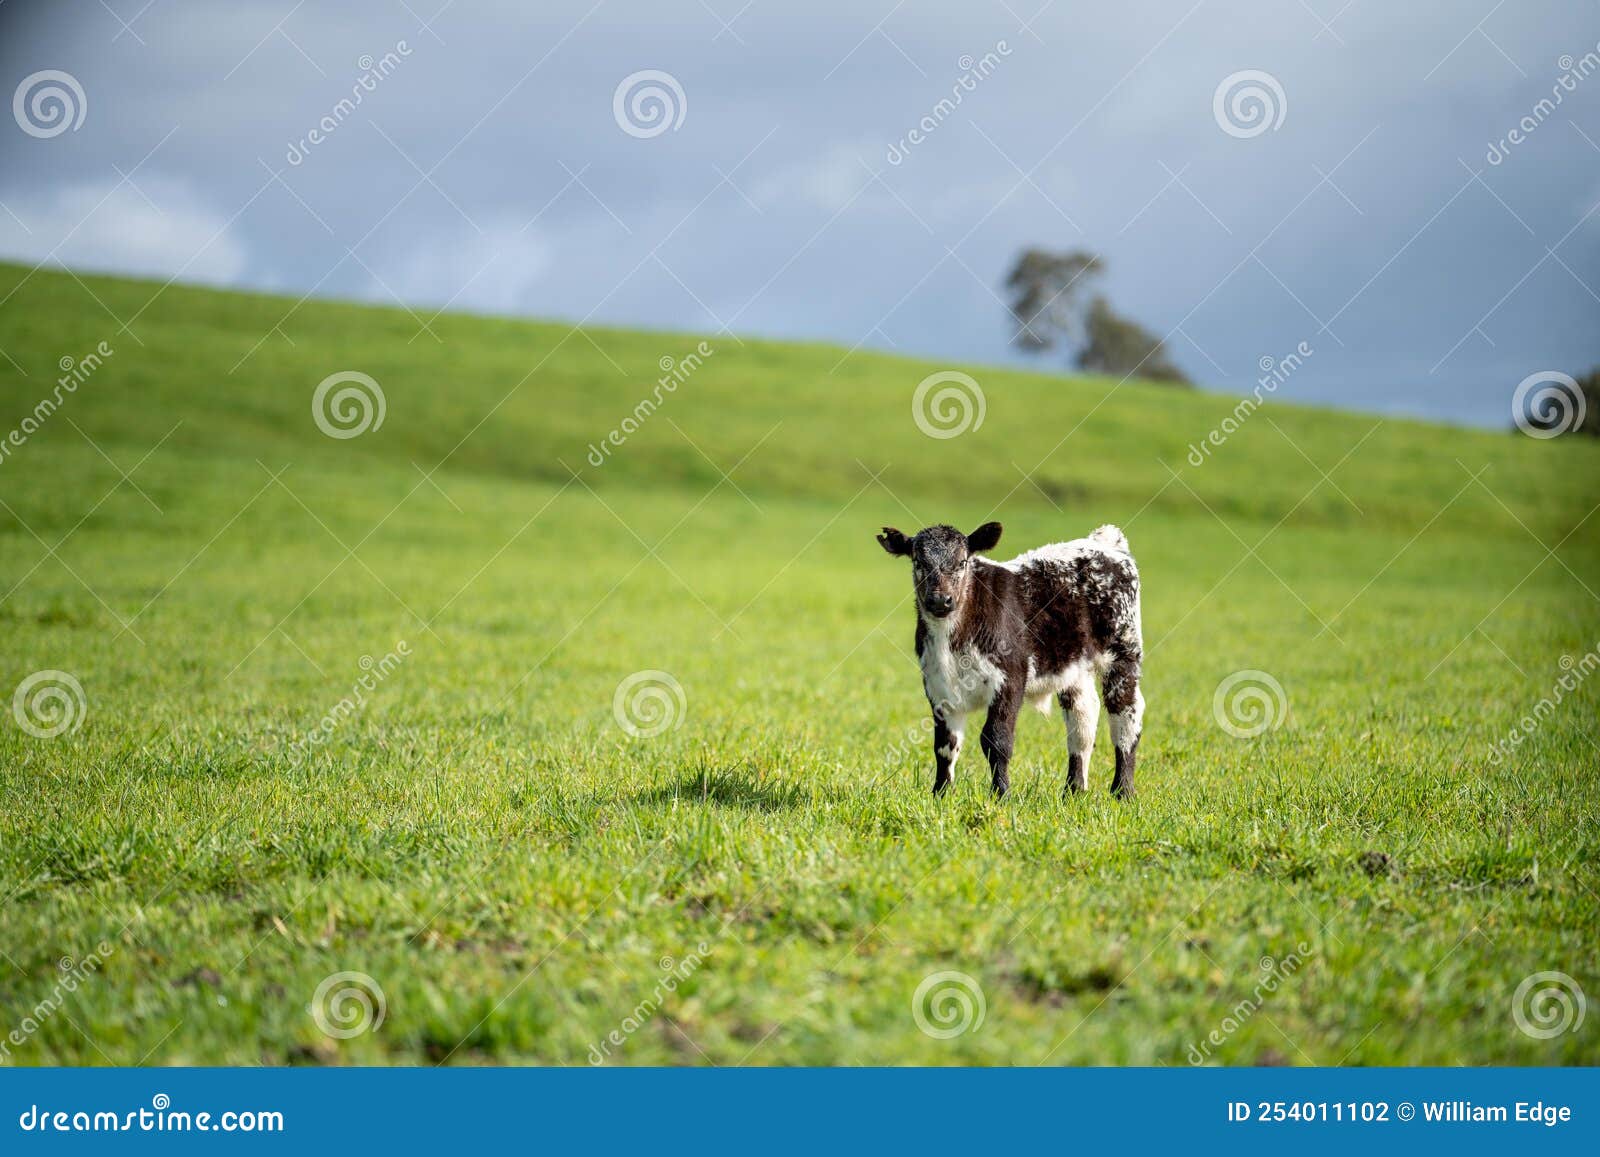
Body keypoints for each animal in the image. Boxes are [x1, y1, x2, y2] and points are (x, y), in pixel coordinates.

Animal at [876, 521, 1144, 800]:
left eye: (962, 562)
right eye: (918, 561)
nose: (940, 600)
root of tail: (1104, 542)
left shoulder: (1010, 678)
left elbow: (996, 739)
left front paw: (1001, 793)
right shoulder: (938, 688)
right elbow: (945, 745)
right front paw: (941, 794)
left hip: (1124, 651)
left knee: (1126, 717)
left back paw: (1123, 791)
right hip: (1074, 667)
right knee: (1083, 719)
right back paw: (1073, 791)